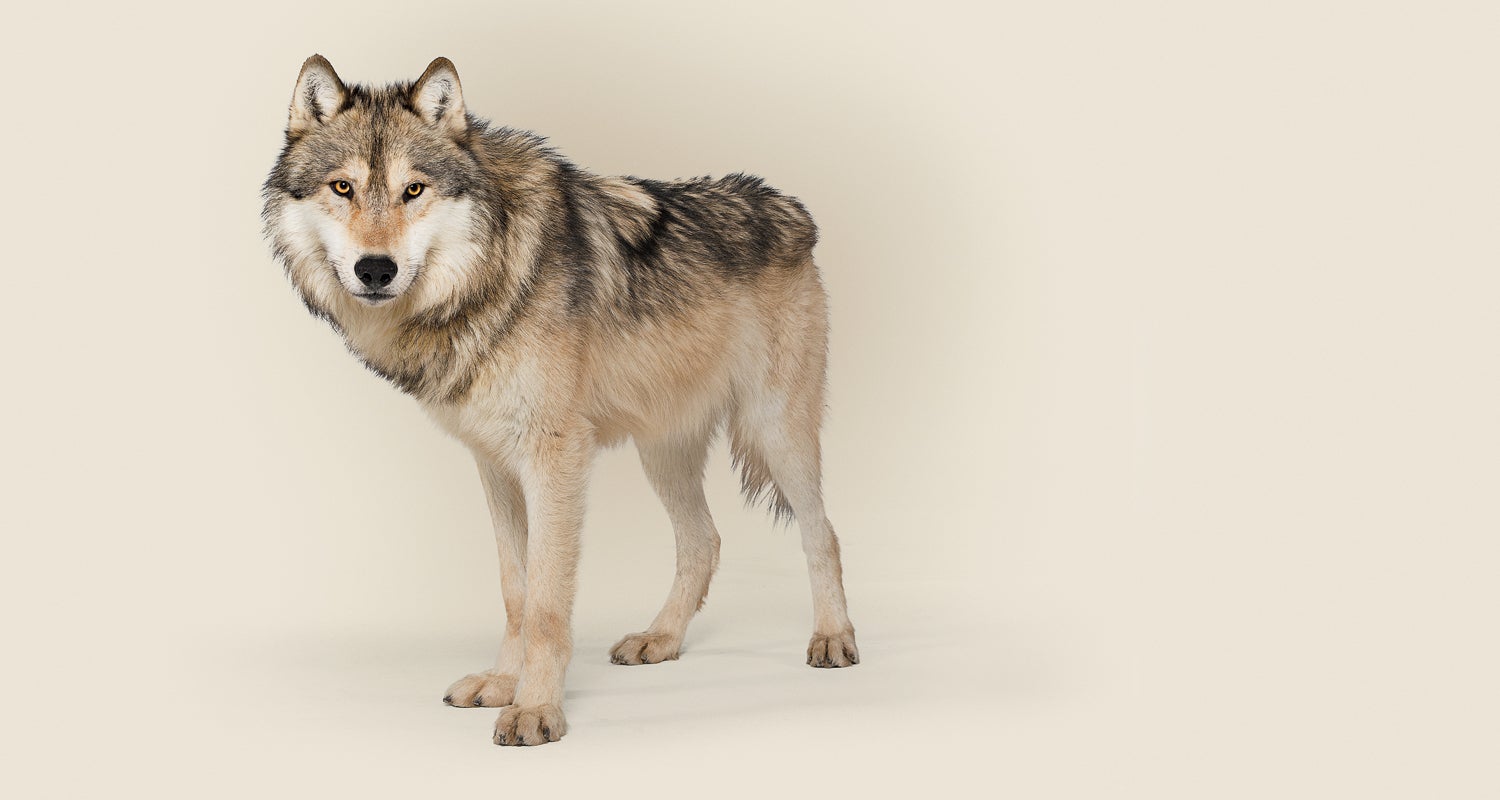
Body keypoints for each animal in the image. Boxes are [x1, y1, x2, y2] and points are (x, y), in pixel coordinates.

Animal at [261, 55, 858, 746]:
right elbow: (516, 590)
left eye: (413, 190)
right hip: (663, 453)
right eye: (342, 188)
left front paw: (537, 710)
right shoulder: (495, 465)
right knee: (703, 541)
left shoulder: (554, 458)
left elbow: (547, 602)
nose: (375, 269)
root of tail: (790, 207)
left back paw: (833, 638)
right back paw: (661, 639)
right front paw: (502, 684)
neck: (490, 275)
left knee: (823, 533)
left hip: (775, 432)